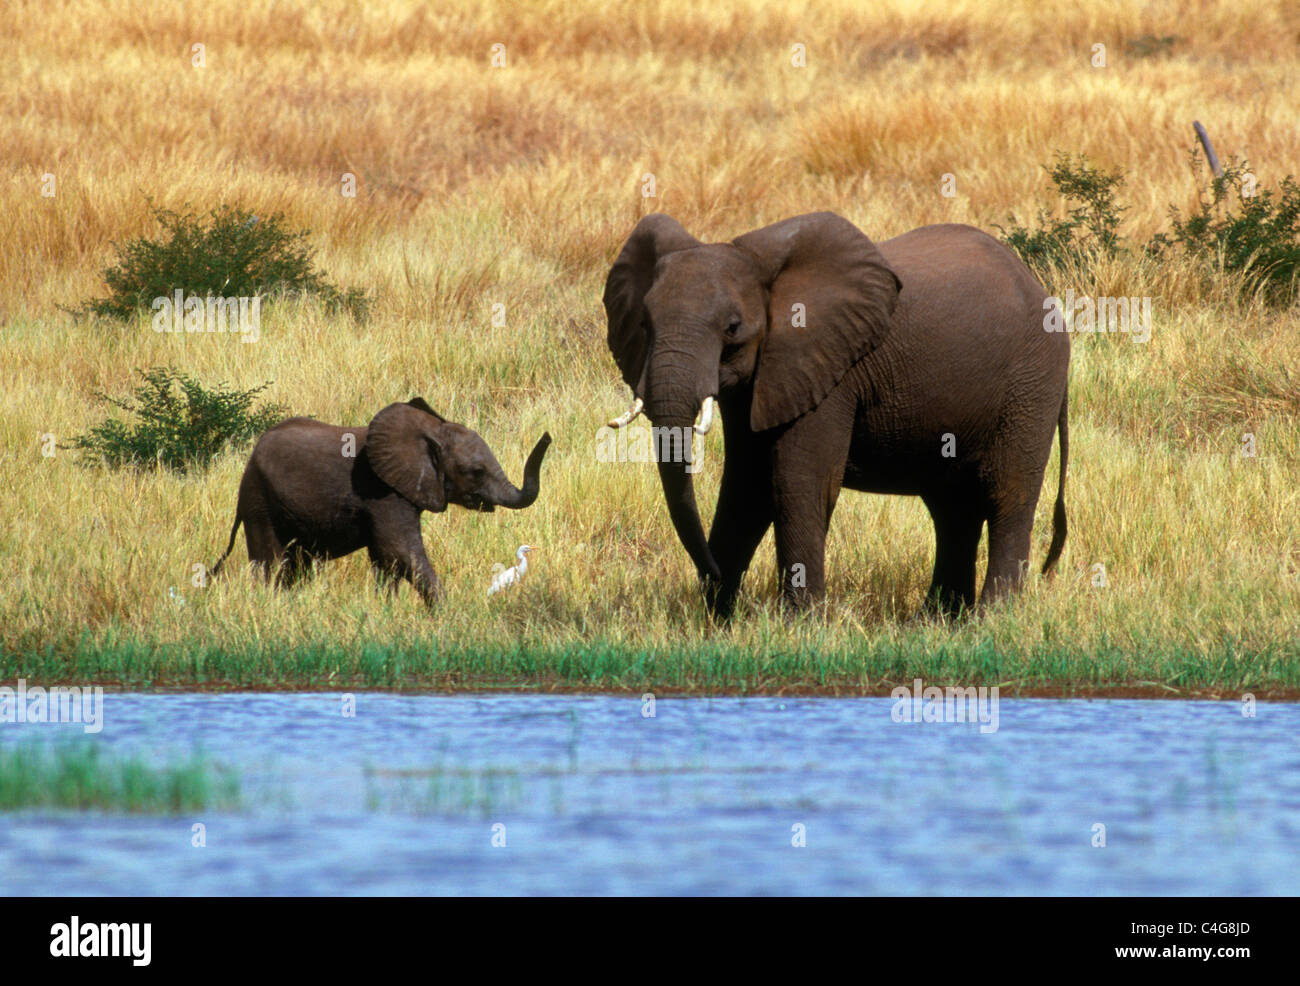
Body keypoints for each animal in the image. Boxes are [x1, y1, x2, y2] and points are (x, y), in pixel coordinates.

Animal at [211, 398, 551, 604]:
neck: (430, 431)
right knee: (271, 562)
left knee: (297, 565)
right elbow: (400, 551)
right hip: (258, 499)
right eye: (476, 472)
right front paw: (448, 614)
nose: (547, 436)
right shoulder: (382, 492)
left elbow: (386, 560)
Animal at [602, 212, 1069, 619]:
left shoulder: (830, 372)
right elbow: (746, 485)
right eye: (644, 324)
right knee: (953, 507)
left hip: (1031, 385)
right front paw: (716, 623)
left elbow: (798, 482)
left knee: (1008, 494)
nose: (712, 573)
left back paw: (991, 619)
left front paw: (799, 625)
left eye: (732, 329)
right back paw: (937, 621)